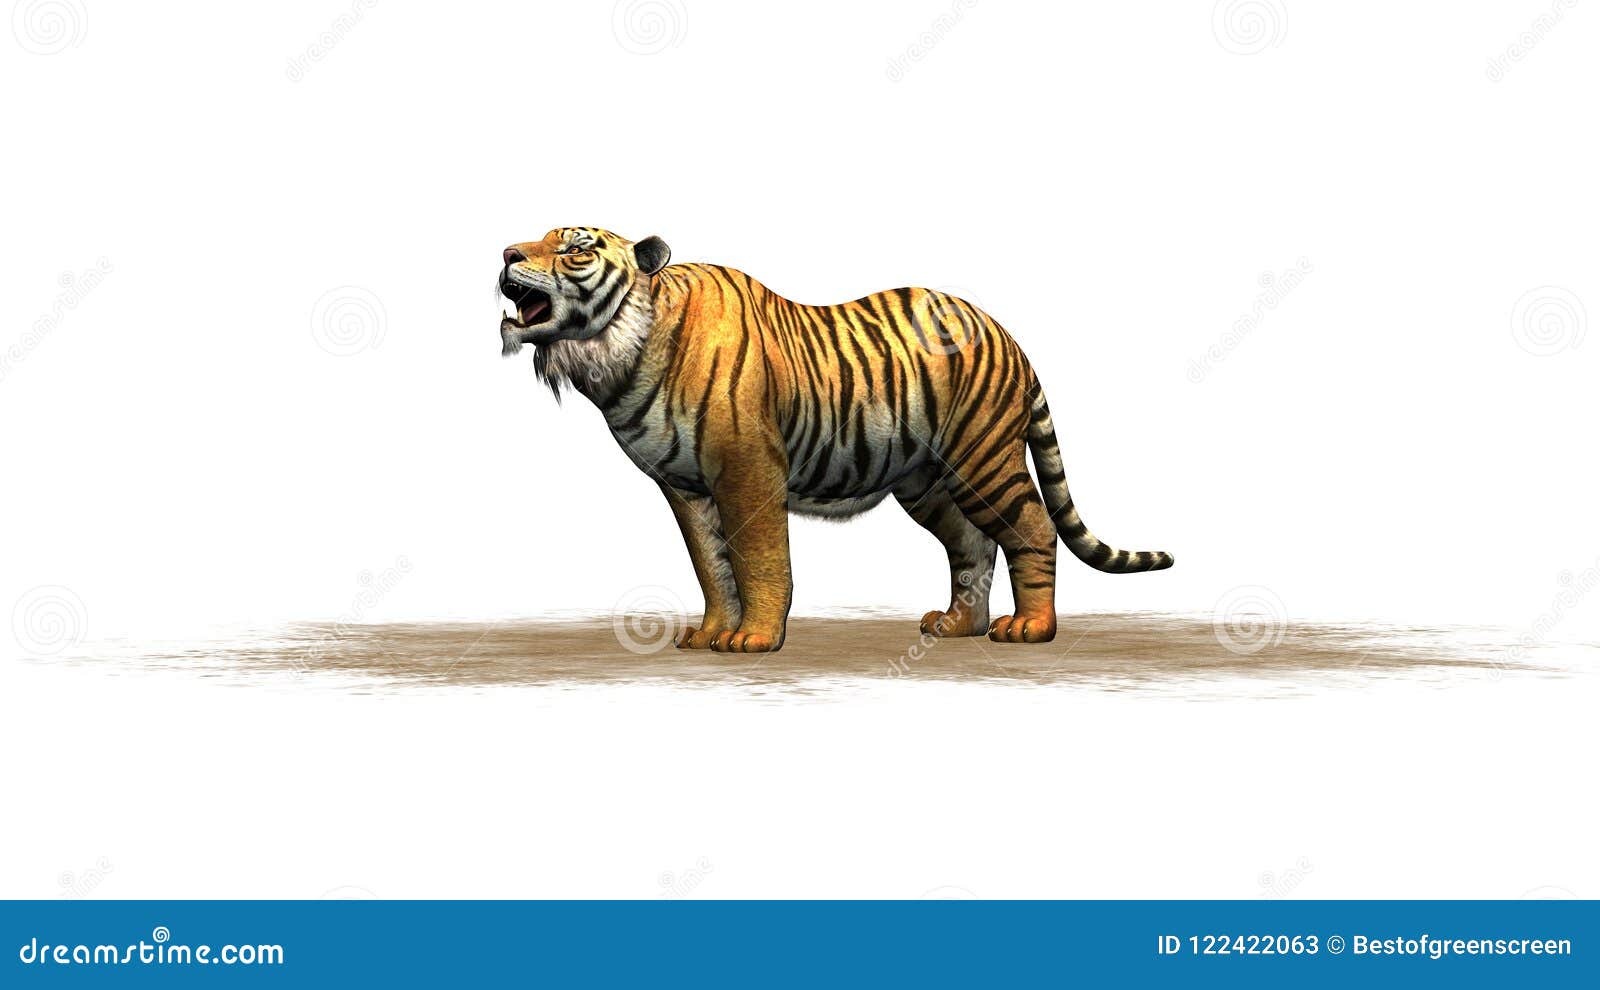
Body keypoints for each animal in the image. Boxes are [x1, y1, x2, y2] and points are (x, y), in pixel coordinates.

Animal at [499, 227, 1172, 653]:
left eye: (574, 248)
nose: (504, 253)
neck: (621, 352)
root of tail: (1007, 335)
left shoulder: (747, 469)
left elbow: (760, 559)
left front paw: (752, 639)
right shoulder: (685, 486)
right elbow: (712, 564)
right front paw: (709, 632)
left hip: (983, 458)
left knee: (1032, 527)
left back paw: (1029, 629)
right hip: (926, 482)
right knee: (972, 544)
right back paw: (957, 626)